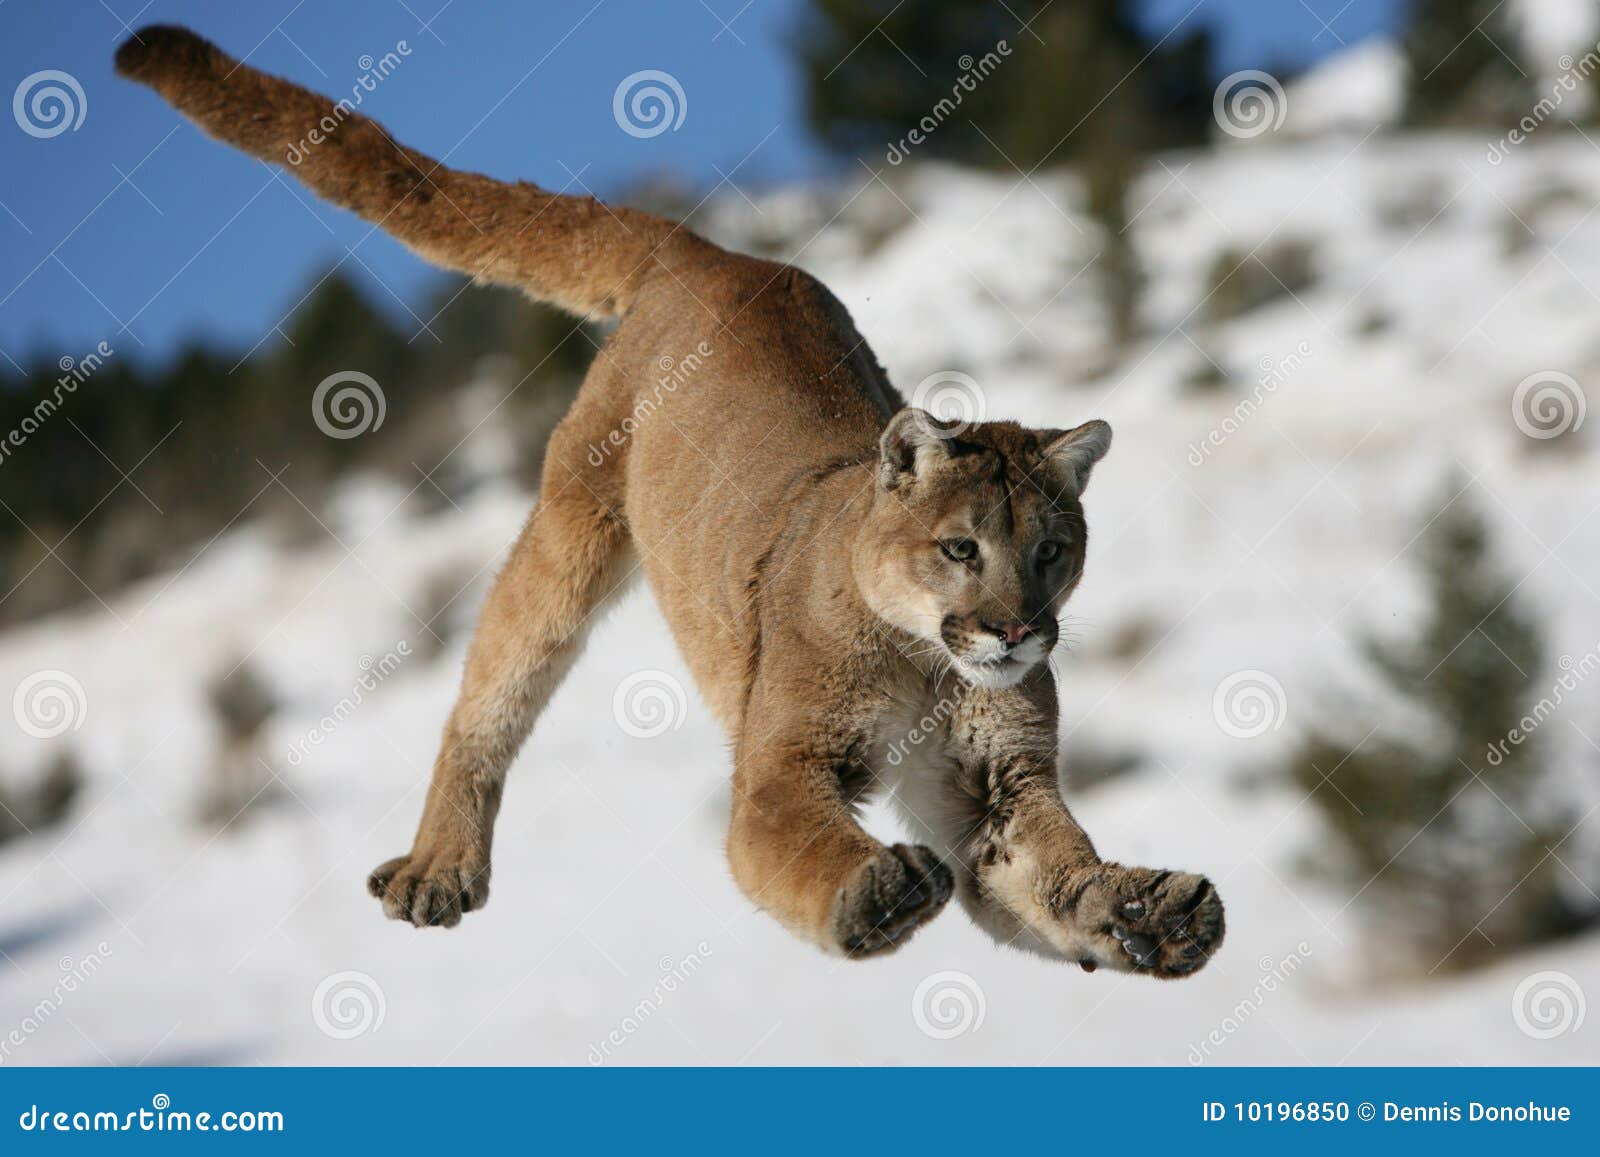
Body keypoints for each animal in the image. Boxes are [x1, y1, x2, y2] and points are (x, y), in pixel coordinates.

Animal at [116, 26, 1223, 975]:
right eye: (961, 548)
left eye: (1051, 550)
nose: (1016, 630)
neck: (923, 657)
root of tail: (713, 251)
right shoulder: (781, 767)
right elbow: (795, 843)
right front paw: (874, 890)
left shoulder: (994, 786)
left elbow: (1048, 875)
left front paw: (1145, 909)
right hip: (568, 531)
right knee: (488, 691)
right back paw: (438, 867)